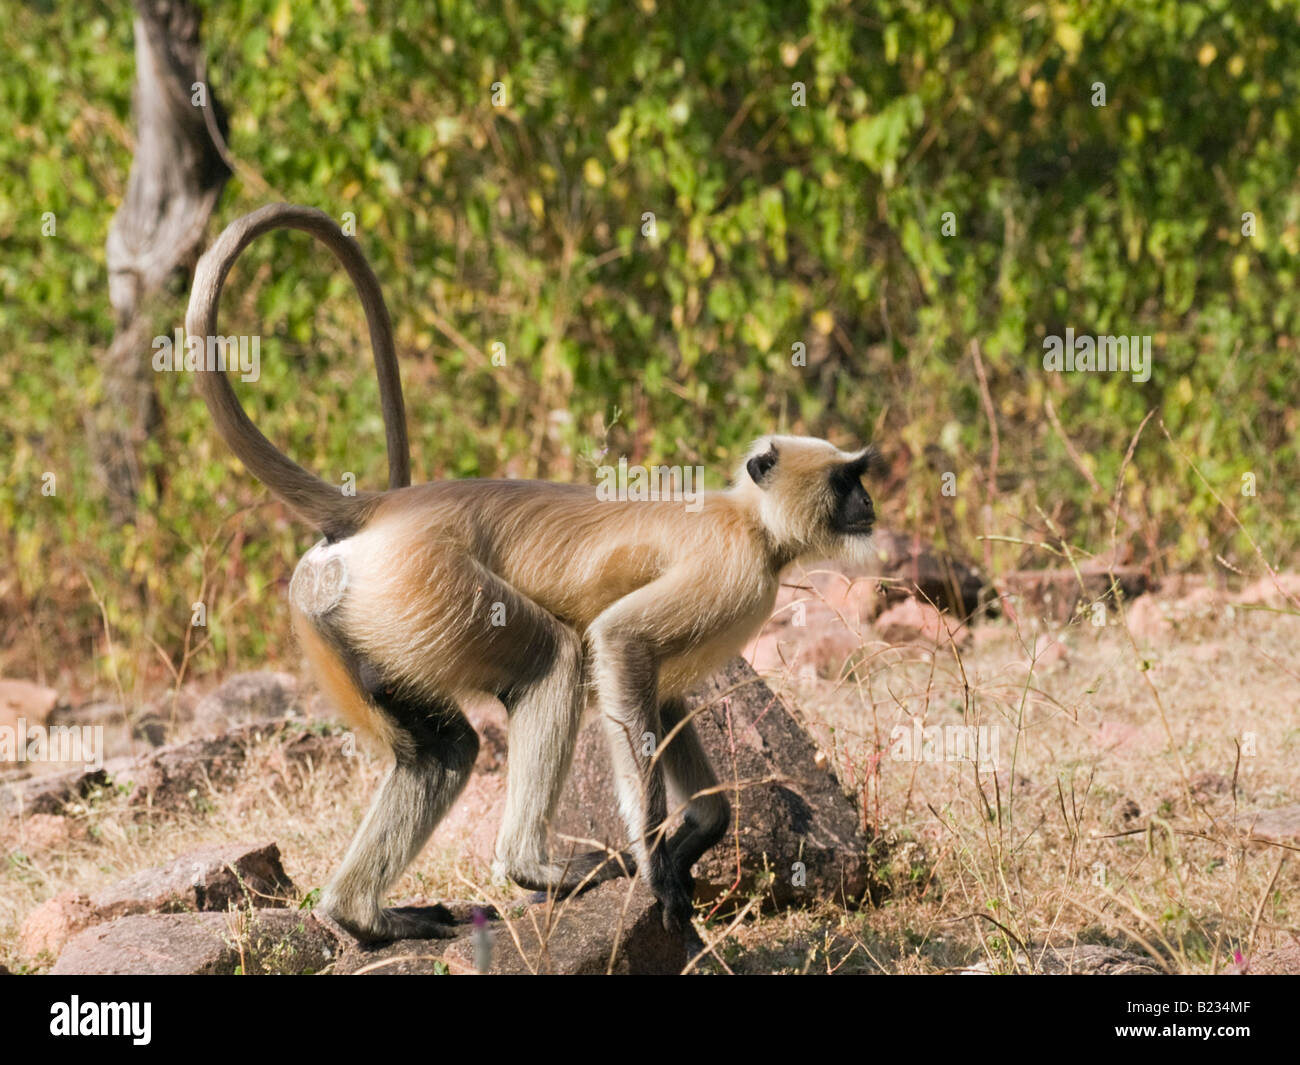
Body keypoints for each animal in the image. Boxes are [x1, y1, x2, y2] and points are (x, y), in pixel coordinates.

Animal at [185, 203, 881, 949]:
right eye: (846, 481)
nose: (869, 505)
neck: (752, 522)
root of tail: (383, 509)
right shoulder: (733, 568)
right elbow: (619, 640)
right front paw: (657, 865)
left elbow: (659, 692)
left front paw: (694, 834)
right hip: (431, 588)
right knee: (555, 658)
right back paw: (531, 868)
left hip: (356, 616)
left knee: (444, 749)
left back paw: (361, 915)